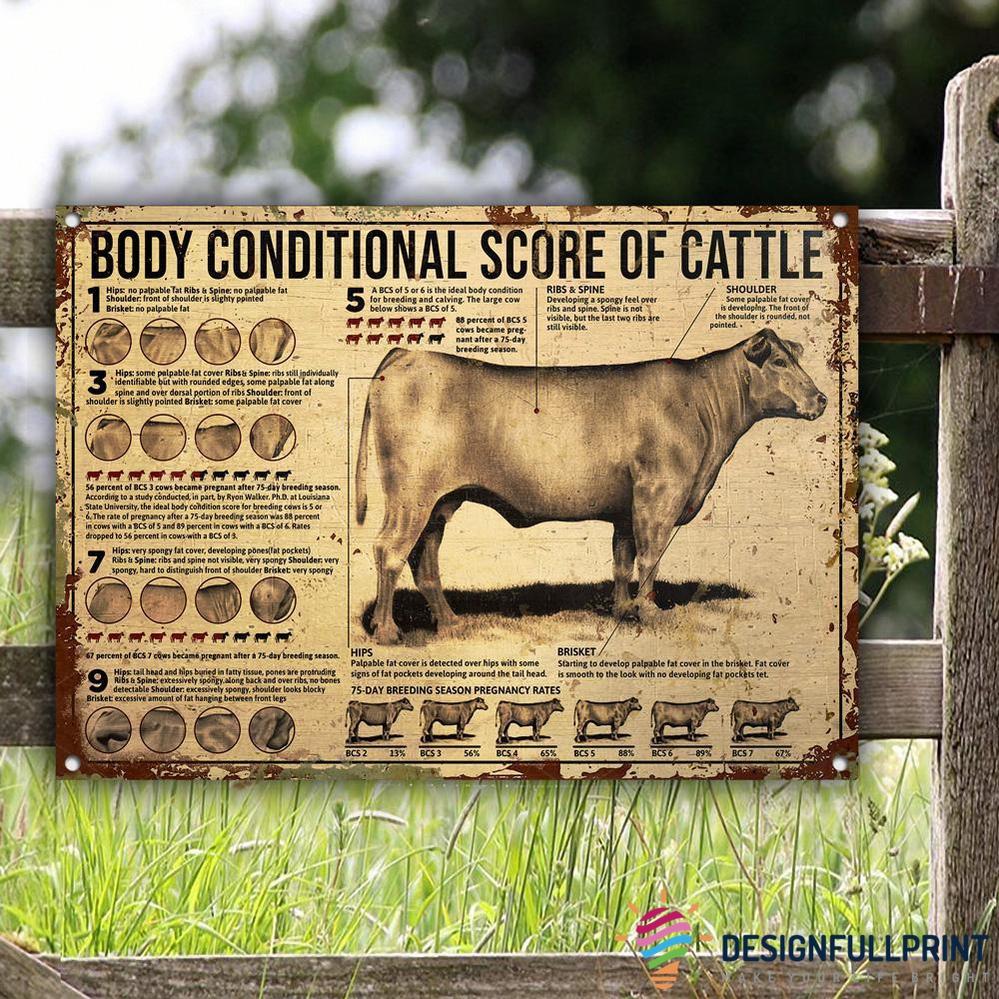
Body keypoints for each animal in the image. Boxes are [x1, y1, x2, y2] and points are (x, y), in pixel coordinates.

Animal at [354, 330, 827, 643]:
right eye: (779, 363)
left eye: (794, 358)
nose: (821, 399)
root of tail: (408, 353)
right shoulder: (660, 494)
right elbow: (651, 557)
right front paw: (651, 612)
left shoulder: (626, 509)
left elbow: (622, 559)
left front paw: (623, 609)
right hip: (410, 494)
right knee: (389, 551)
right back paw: (387, 631)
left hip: (440, 502)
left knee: (424, 558)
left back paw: (450, 623)